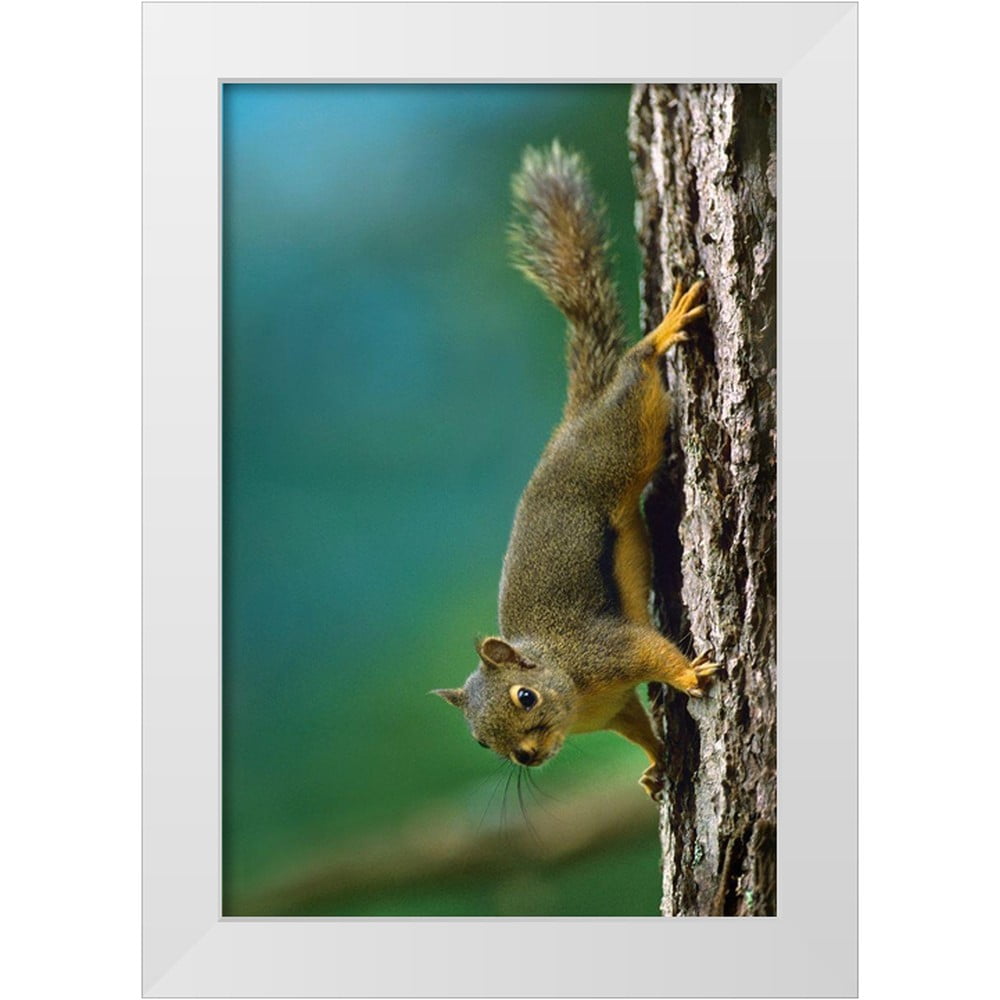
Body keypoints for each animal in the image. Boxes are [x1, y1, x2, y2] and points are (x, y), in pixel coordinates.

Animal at [433, 141, 718, 800]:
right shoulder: (615, 707)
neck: (572, 684)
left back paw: (663, 331)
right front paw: (657, 765)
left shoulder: (610, 648)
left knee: (636, 372)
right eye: (481, 741)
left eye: (525, 696)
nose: (528, 756)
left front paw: (690, 676)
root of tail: (573, 420)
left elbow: (655, 653)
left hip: (617, 441)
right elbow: (638, 727)